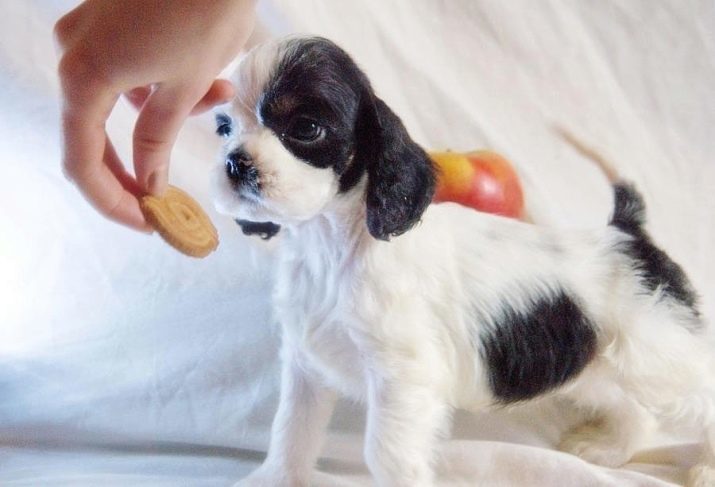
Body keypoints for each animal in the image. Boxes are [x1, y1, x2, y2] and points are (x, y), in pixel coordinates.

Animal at [214, 35, 715, 487]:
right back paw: (608, 449)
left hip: (657, 356)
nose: (236, 163)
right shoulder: (307, 367)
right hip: (595, 365)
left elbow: (385, 454)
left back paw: (703, 468)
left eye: (305, 127)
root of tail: (627, 233)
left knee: (700, 399)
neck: (333, 245)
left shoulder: (403, 379)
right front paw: (272, 479)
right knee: (635, 411)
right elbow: (290, 433)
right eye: (223, 127)